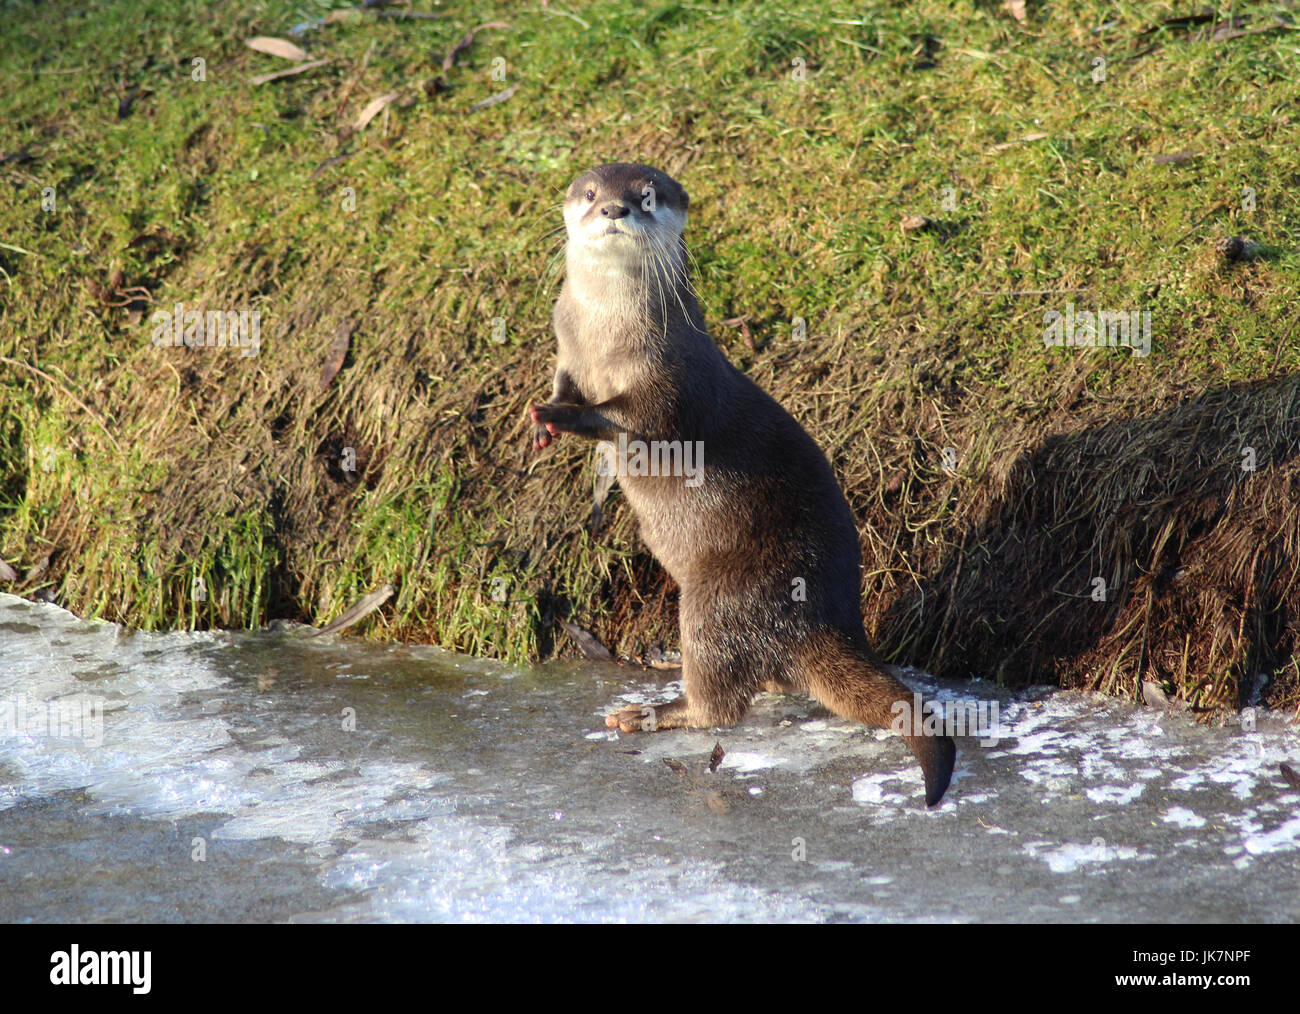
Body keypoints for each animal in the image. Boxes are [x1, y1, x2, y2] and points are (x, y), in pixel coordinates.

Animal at [530, 163, 955, 807]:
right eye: (591, 193)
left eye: (646, 196)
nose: (613, 210)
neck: (604, 339)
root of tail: (828, 617)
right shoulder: (566, 344)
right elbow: (564, 380)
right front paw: (547, 417)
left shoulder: (670, 372)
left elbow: (634, 418)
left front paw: (565, 417)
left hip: (721, 596)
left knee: (721, 703)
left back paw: (651, 712)